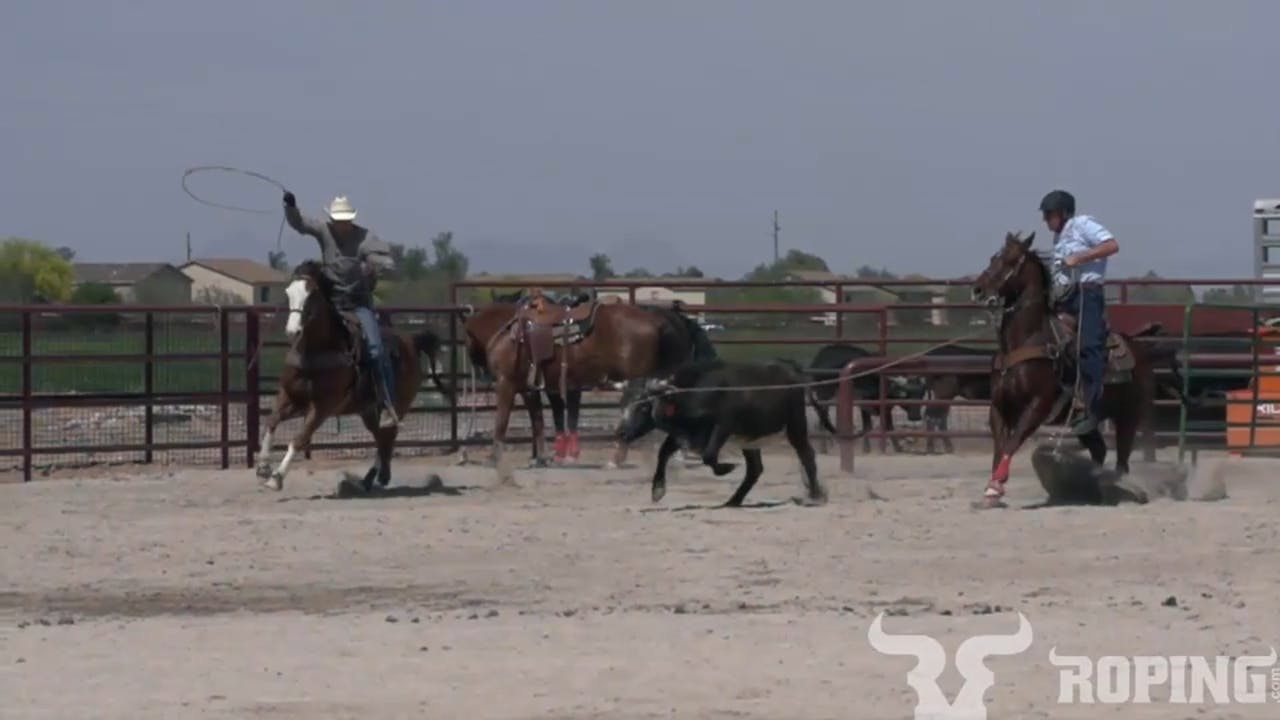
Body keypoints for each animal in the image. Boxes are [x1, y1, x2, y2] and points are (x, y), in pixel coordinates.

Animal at [254, 260, 452, 492]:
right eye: (288, 293)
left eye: (311, 295)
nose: (293, 331)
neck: (316, 352)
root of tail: (412, 341)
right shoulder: (291, 397)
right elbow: (271, 423)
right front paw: (263, 467)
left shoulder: (322, 407)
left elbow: (299, 439)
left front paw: (276, 478)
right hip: (368, 411)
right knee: (381, 438)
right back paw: (371, 478)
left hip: (397, 406)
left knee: (388, 436)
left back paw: (379, 476)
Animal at [968, 231, 1179, 507]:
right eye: (994, 258)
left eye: (1011, 260)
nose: (978, 289)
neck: (1026, 340)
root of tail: (1140, 348)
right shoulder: (999, 407)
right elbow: (1001, 445)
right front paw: (992, 490)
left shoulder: (1038, 406)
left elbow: (1013, 442)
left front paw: (995, 487)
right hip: (1088, 423)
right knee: (1099, 449)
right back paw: (1096, 487)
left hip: (1128, 415)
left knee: (1122, 460)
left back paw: (1117, 490)